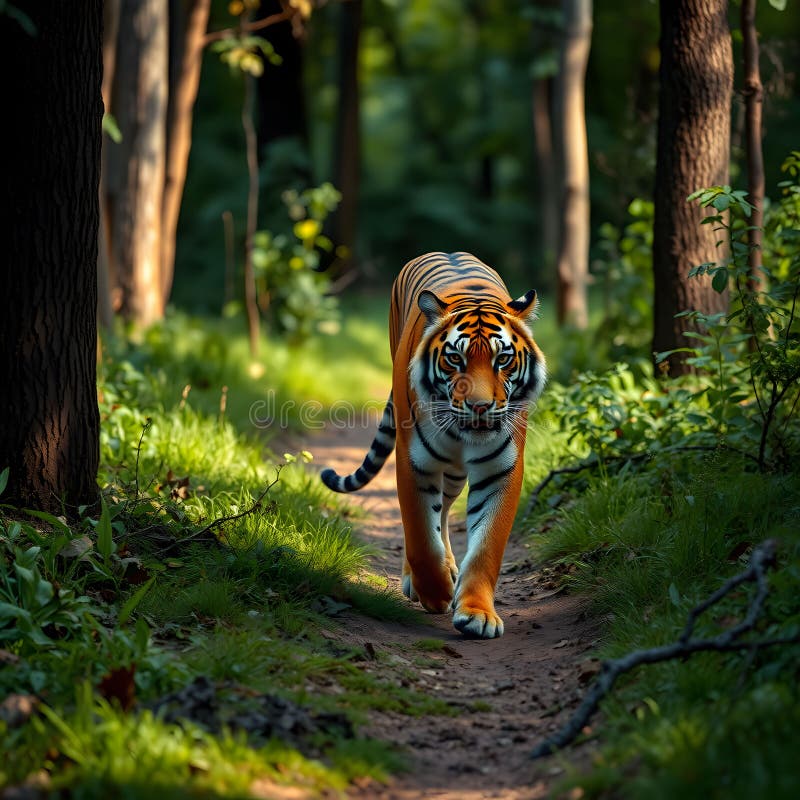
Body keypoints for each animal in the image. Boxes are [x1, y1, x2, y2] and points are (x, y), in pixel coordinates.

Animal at [321, 252, 546, 638]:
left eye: (502, 359)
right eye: (455, 358)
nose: (480, 406)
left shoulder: (500, 469)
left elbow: (486, 546)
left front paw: (477, 614)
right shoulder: (414, 462)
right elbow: (420, 536)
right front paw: (436, 591)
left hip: (454, 473)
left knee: (443, 510)